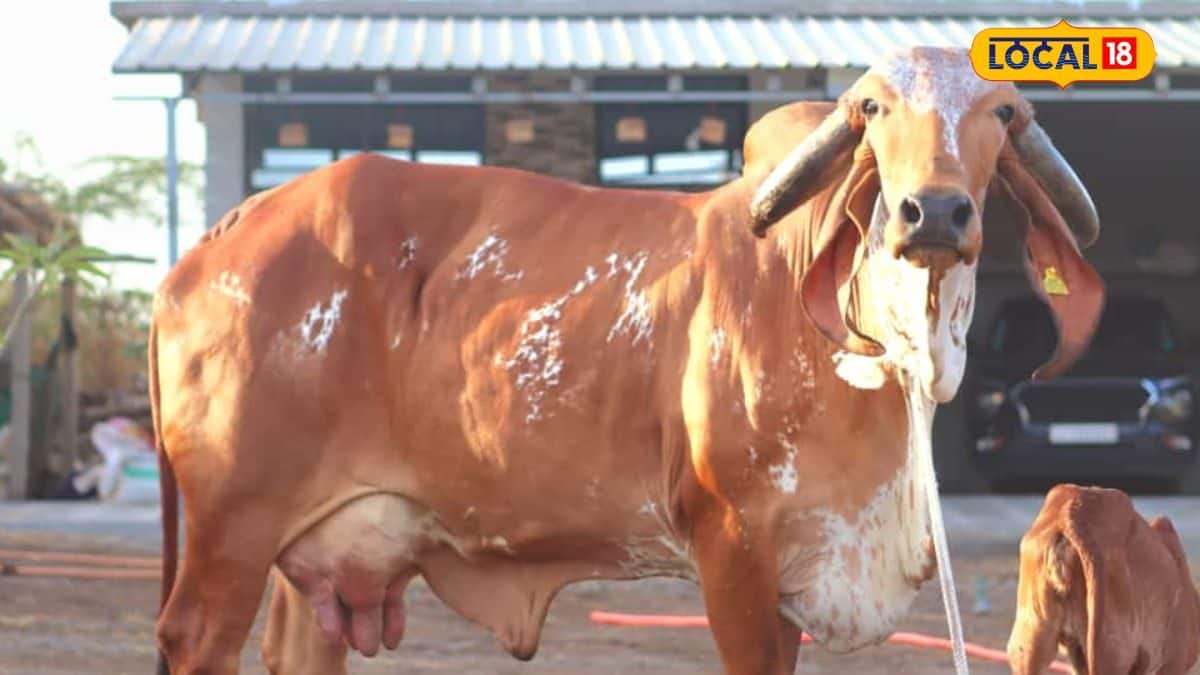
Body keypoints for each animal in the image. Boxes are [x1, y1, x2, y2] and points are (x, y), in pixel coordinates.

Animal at [149, 47, 1104, 675]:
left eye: (1004, 113)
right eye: (870, 109)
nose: (932, 213)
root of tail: (219, 236)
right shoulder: (735, 552)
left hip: (317, 547)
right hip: (231, 530)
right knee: (195, 635)